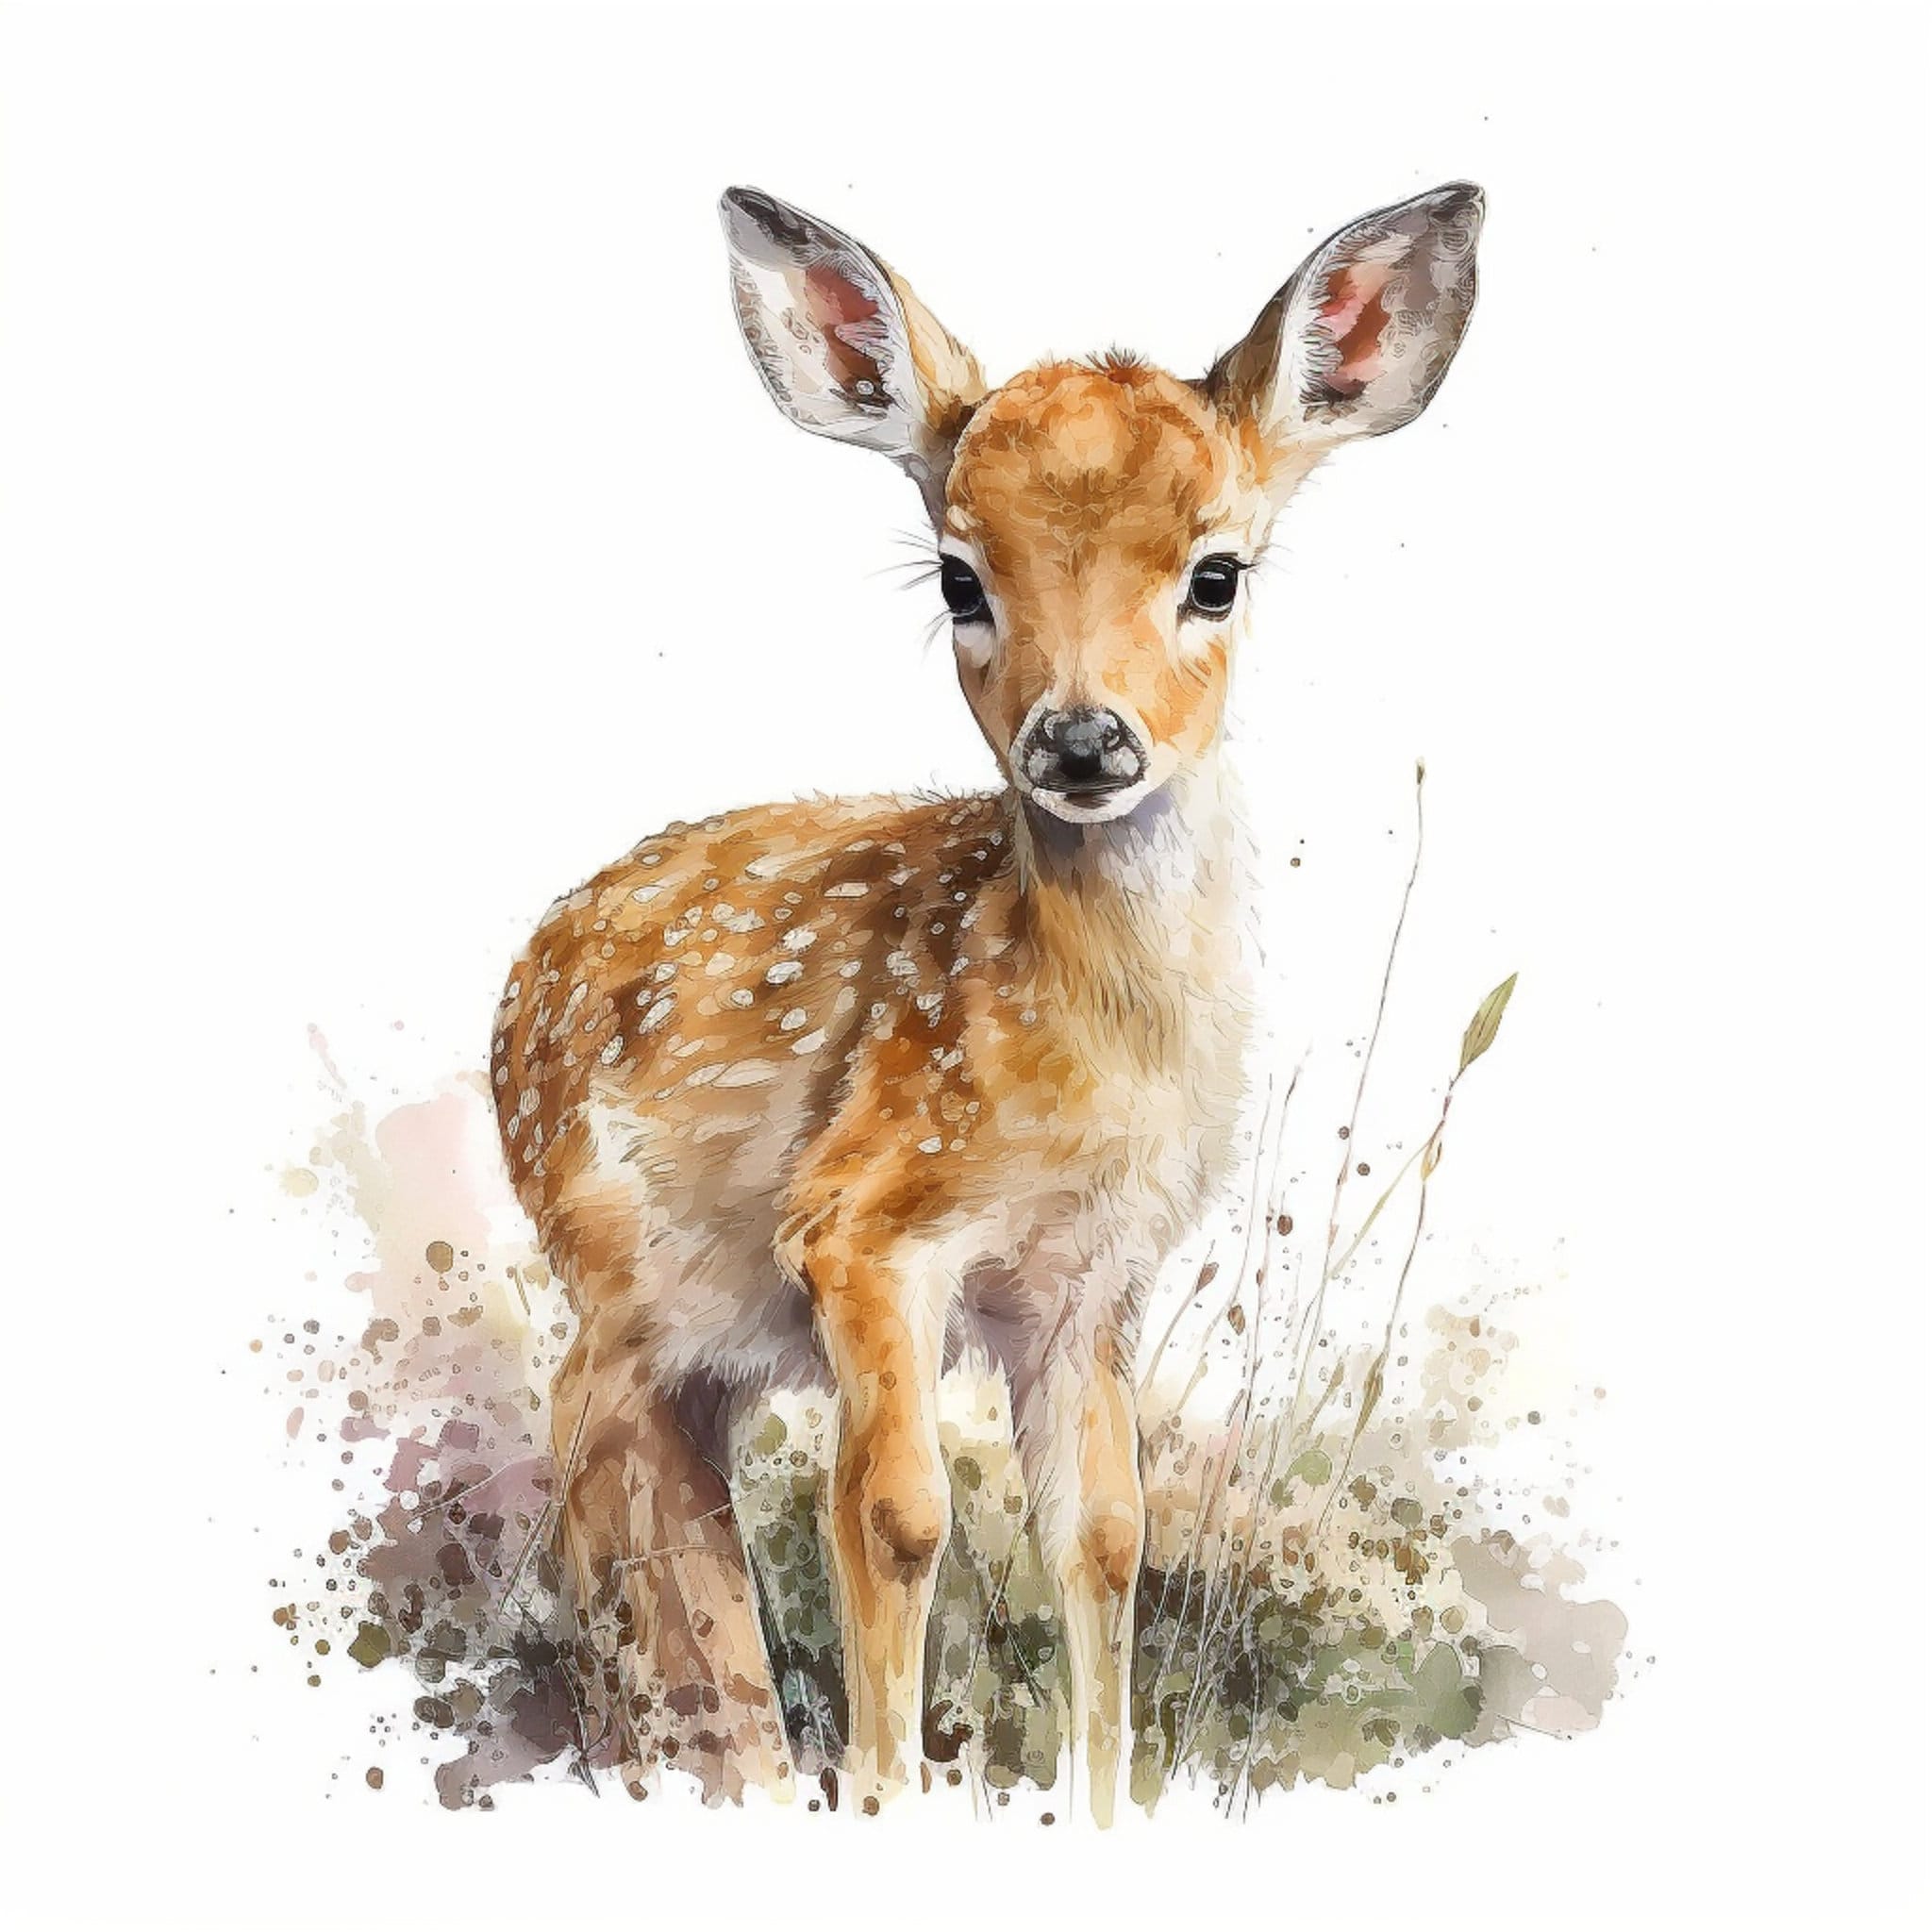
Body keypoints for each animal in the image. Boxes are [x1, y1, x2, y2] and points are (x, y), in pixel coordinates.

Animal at [491, 180, 1483, 1823]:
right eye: (961, 577)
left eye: (1218, 572)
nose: (1082, 740)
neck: (1081, 1041)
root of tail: (528, 969)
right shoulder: (857, 1225)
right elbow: (896, 1516)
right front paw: (885, 1798)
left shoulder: (1089, 1283)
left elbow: (1105, 1535)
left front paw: (1100, 1805)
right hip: (620, 1266)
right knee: (594, 1466)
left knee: (655, 1474)